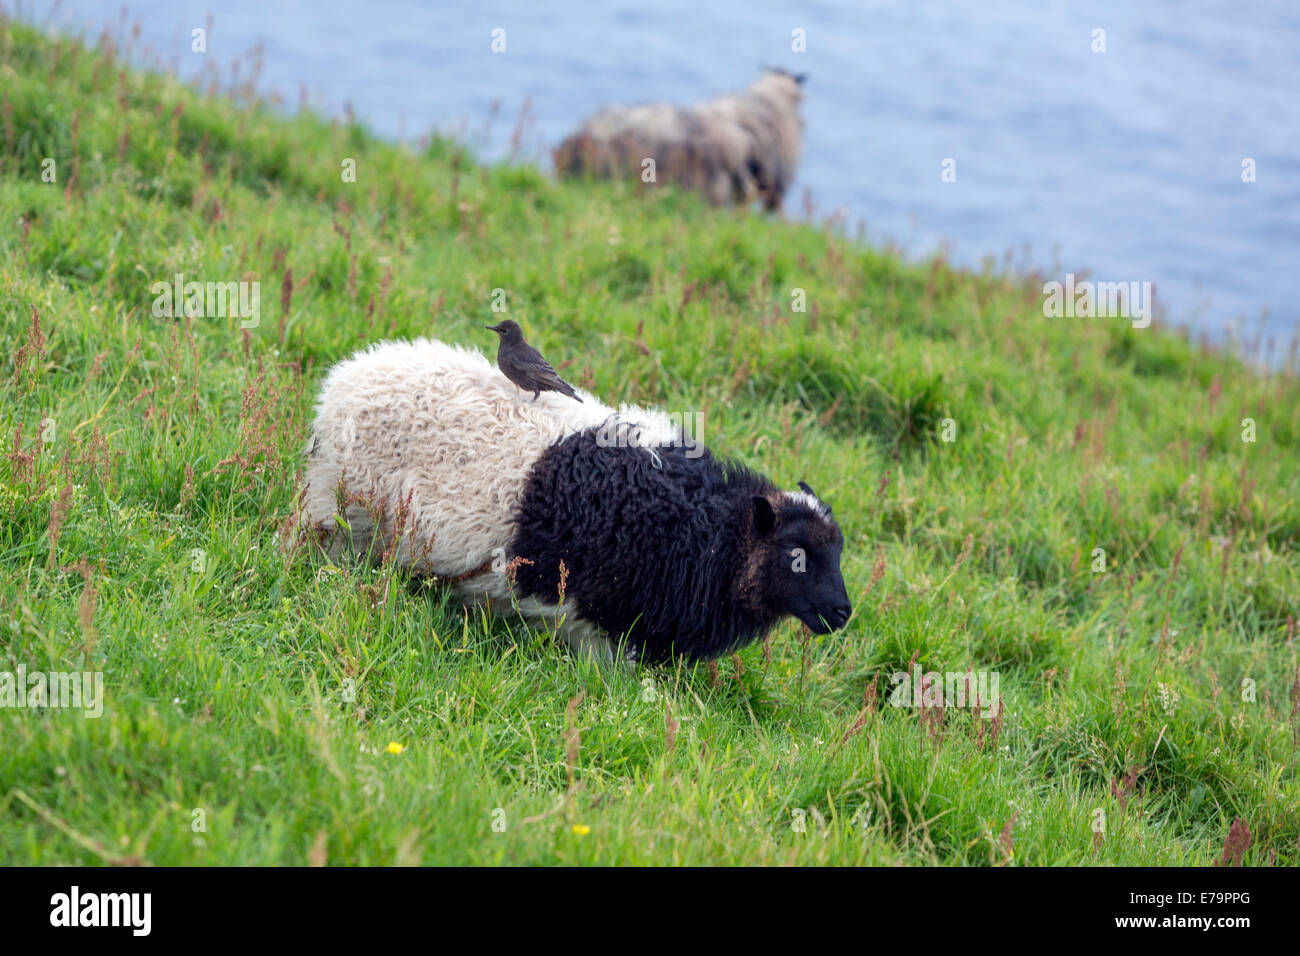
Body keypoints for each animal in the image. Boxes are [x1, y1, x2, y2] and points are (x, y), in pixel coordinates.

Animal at [296, 337, 851, 664]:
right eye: (797, 554)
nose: (843, 613)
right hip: (336, 510)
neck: (705, 531)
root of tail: (350, 373)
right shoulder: (596, 620)